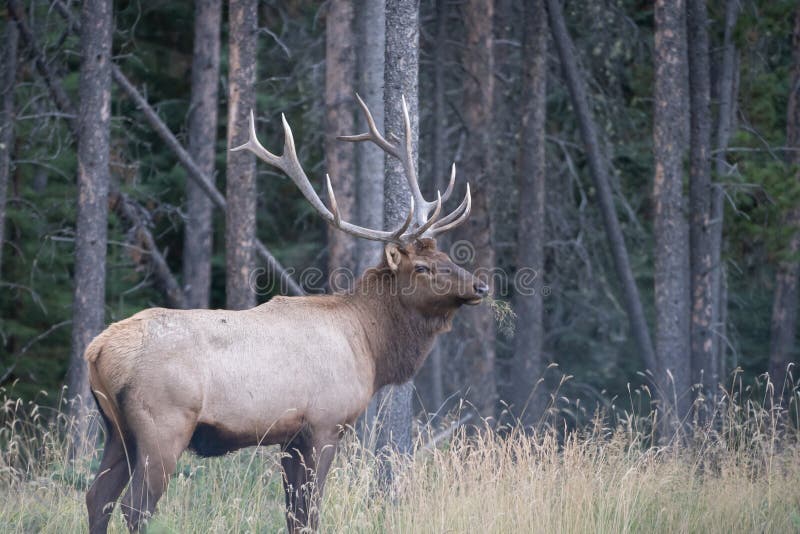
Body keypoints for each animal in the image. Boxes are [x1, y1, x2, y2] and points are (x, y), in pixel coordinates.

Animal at [84, 95, 487, 534]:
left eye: (447, 256)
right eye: (422, 267)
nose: (480, 286)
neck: (368, 344)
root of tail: (97, 350)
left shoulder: (289, 437)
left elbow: (294, 513)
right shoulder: (324, 424)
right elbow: (310, 511)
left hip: (115, 428)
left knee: (97, 498)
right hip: (163, 423)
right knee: (135, 507)